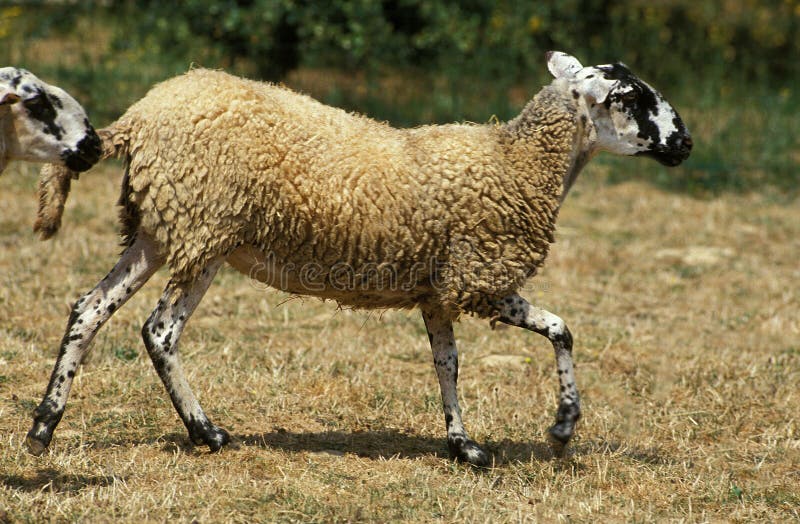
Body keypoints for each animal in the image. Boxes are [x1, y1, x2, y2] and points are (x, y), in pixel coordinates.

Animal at [26, 52, 692, 466]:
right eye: (630, 96)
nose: (685, 142)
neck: (519, 163)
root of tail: (137, 118)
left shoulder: (438, 290)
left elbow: (447, 363)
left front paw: (464, 446)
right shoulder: (479, 276)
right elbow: (561, 330)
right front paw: (561, 426)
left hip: (161, 227)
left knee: (89, 309)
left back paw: (43, 428)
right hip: (204, 227)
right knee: (160, 330)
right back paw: (206, 432)